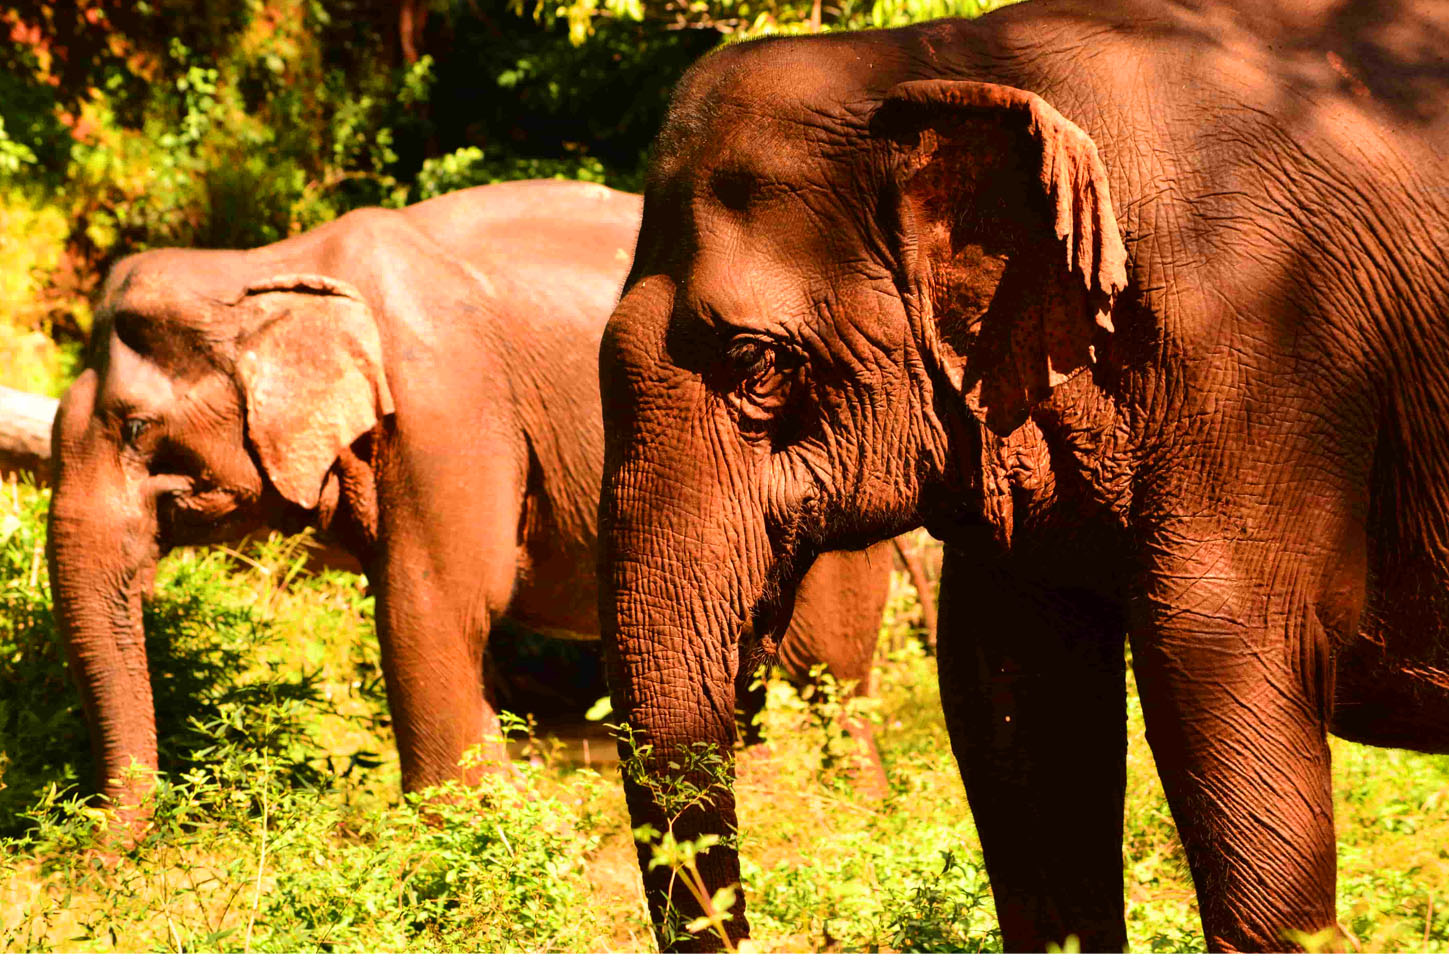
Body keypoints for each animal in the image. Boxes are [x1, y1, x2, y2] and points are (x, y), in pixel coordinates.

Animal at [46, 179, 909, 821]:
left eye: (136, 427)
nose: (90, 859)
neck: (263, 266)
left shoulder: (448, 411)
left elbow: (432, 603)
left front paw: (460, 834)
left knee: (825, 673)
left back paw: (848, 812)